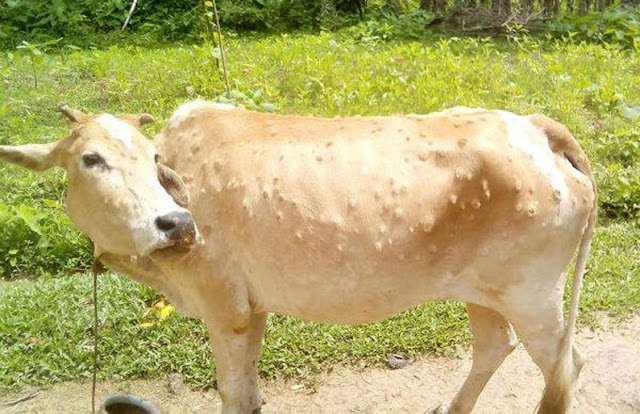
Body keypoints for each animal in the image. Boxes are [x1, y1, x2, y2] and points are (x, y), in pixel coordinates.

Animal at [0, 101, 596, 414]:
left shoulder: (225, 310)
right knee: (493, 348)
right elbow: (249, 392)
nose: (176, 224)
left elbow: (232, 393)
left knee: (565, 367)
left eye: (152, 158)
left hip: (533, 295)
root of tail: (535, 126)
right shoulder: (253, 309)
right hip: (487, 292)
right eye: (90, 159)